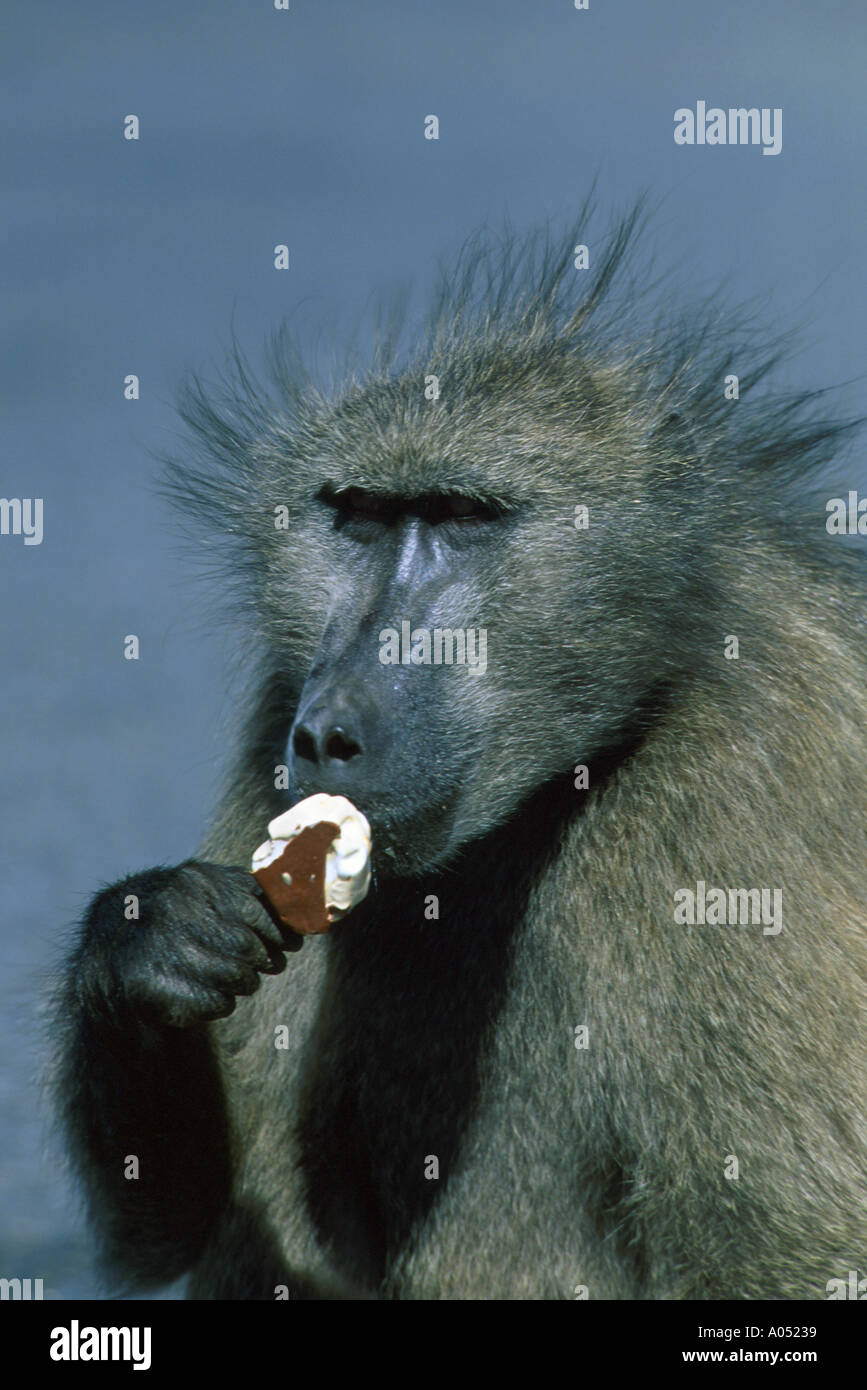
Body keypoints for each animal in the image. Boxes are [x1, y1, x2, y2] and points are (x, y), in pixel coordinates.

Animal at [51, 206, 867, 1300]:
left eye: (462, 515)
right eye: (360, 514)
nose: (330, 732)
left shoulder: (740, 800)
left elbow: (792, 1255)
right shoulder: (274, 716)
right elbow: (174, 1223)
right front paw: (152, 935)